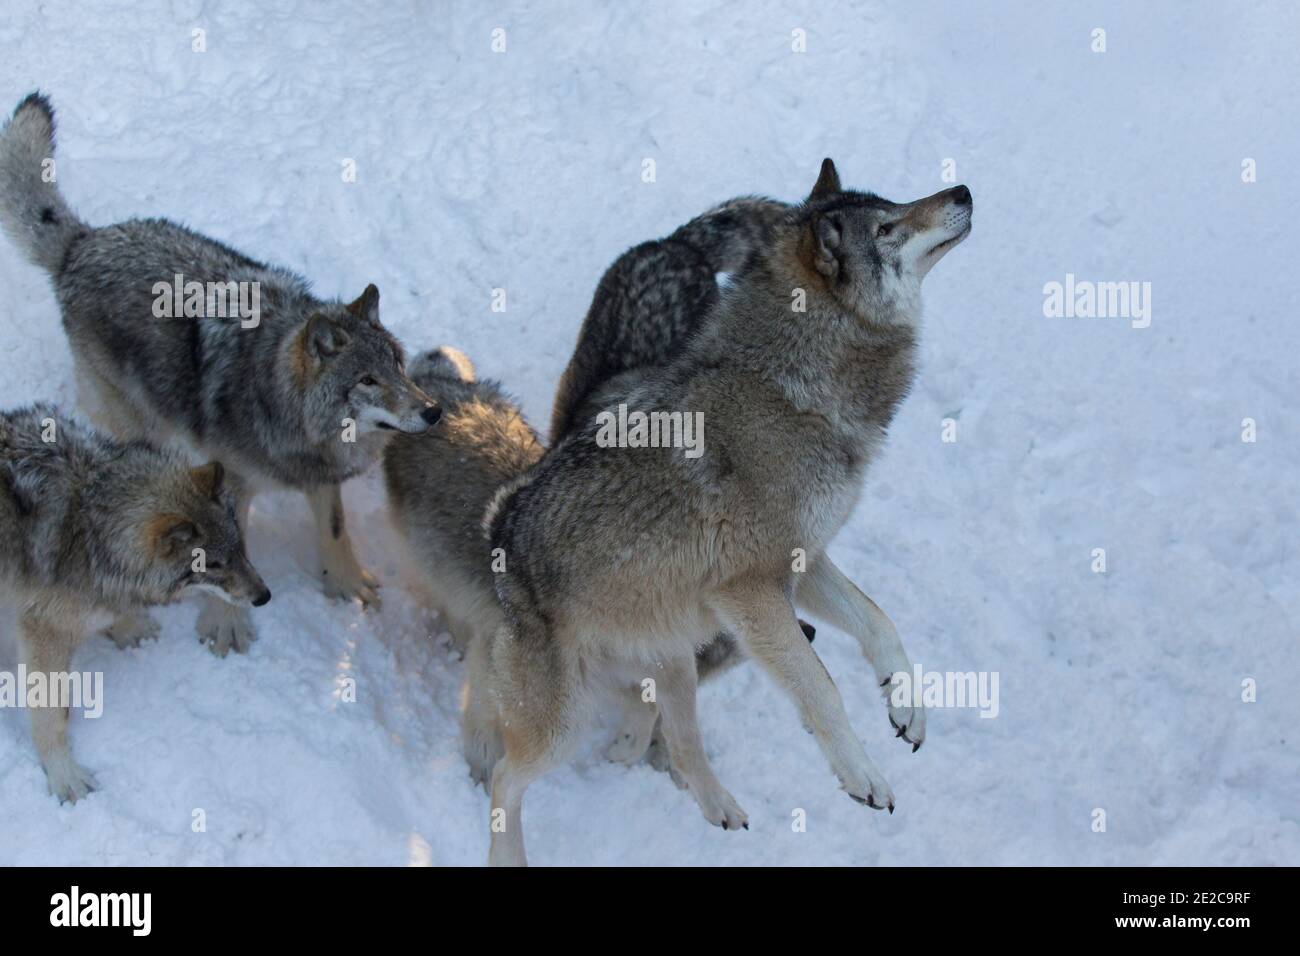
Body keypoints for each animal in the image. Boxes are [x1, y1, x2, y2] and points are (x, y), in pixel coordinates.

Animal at [0, 93, 439, 656]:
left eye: (399, 366)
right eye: (367, 380)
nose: (433, 411)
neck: (281, 405)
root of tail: (84, 242)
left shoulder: (318, 478)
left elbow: (336, 530)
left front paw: (346, 585)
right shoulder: (234, 482)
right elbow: (232, 550)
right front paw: (227, 624)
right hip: (138, 418)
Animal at [0, 403, 269, 802]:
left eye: (238, 549)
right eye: (214, 565)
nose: (264, 596)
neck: (88, 522)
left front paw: (131, 628)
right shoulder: (44, 632)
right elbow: (52, 716)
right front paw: (64, 776)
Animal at [482, 159, 972, 865]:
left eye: (894, 206)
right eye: (886, 227)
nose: (962, 191)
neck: (797, 388)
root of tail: (499, 530)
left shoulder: (803, 562)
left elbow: (881, 623)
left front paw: (906, 707)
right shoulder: (751, 591)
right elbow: (821, 687)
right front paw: (864, 776)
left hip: (673, 659)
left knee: (680, 742)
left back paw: (719, 807)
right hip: (564, 723)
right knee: (504, 778)